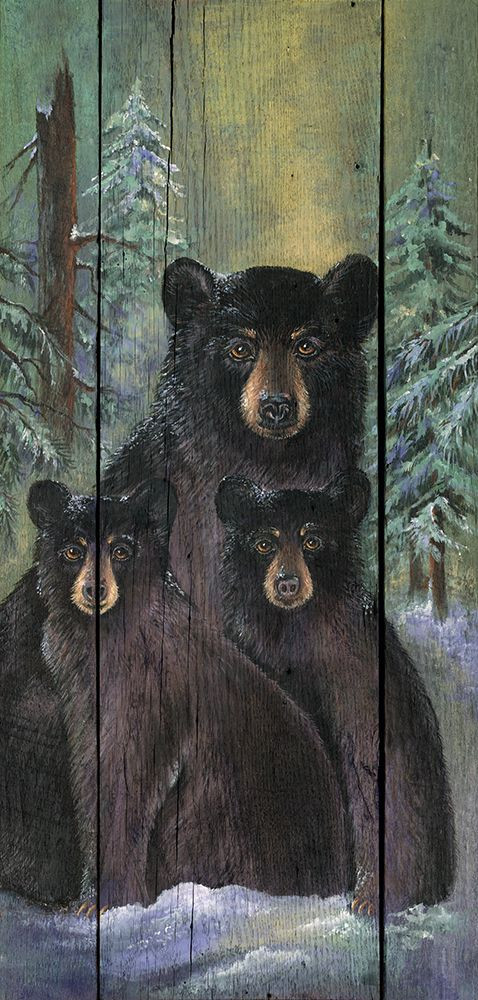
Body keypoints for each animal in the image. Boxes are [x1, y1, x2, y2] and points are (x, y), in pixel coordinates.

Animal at [27, 478, 352, 910]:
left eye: (121, 549)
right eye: (73, 550)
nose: (94, 590)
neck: (110, 637)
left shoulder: (152, 697)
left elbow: (125, 787)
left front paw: (109, 899)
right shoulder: (82, 700)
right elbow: (89, 774)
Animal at [215, 471, 456, 916]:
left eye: (313, 540)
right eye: (264, 543)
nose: (287, 583)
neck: (293, 630)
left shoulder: (357, 676)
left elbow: (371, 767)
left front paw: (369, 897)